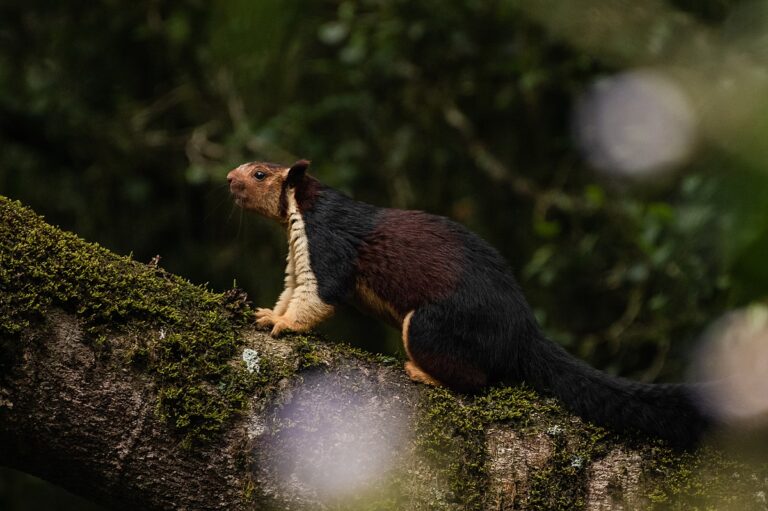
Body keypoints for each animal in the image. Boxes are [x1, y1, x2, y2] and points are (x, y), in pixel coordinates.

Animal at [227, 159, 717, 447]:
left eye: (260, 173)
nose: (228, 178)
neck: (302, 209)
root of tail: (523, 331)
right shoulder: (298, 258)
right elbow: (291, 289)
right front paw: (268, 314)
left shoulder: (328, 243)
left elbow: (318, 295)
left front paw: (285, 326)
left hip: (432, 324)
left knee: (476, 379)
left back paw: (422, 372)